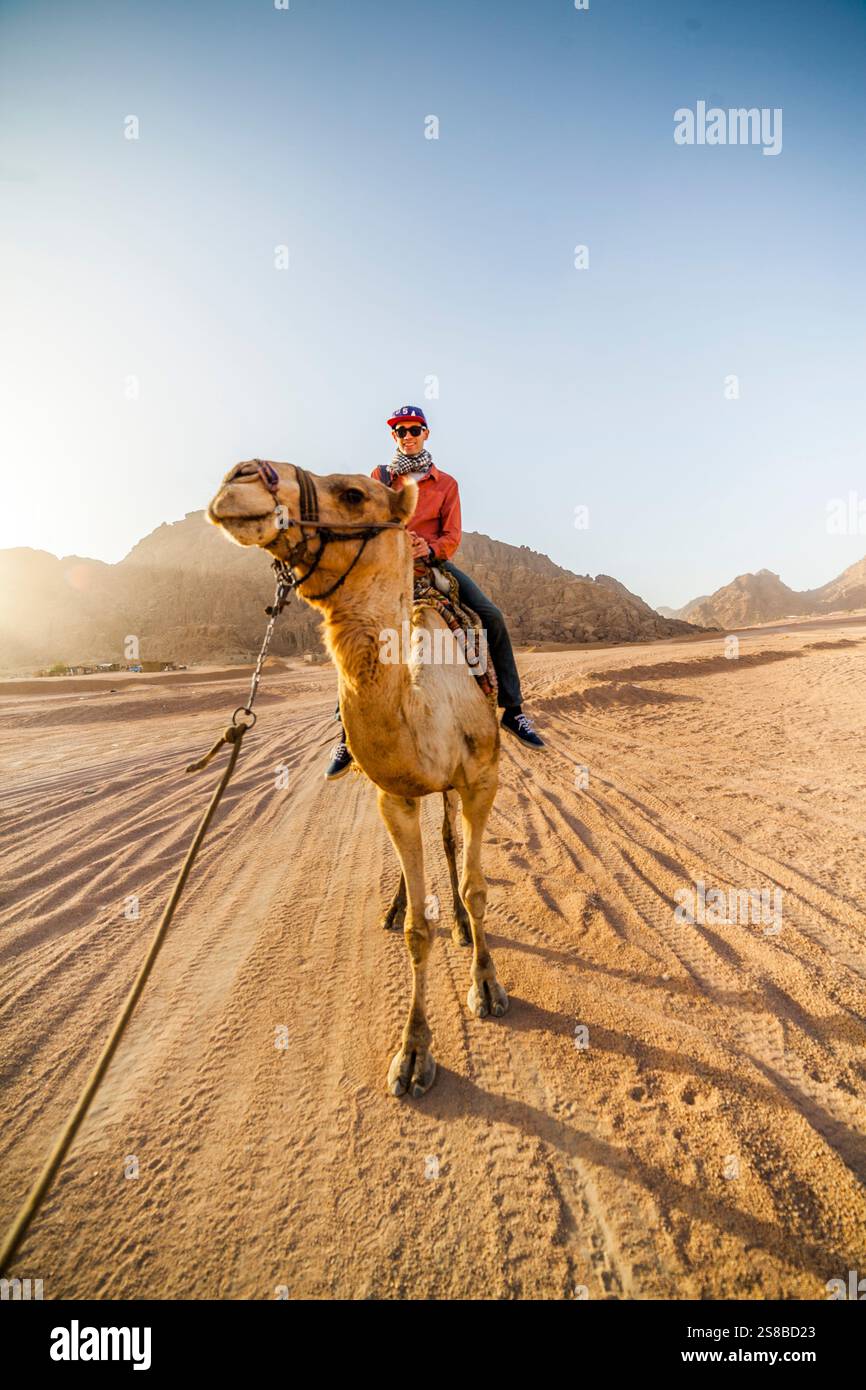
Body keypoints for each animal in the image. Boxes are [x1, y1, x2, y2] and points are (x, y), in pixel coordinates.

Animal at [207, 460, 508, 1097]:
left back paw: (463, 927)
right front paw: (413, 1052)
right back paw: (396, 907)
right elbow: (419, 930)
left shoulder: (482, 780)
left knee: (450, 840)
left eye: (352, 494)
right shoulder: (393, 794)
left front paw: (487, 985)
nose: (239, 477)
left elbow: (476, 888)